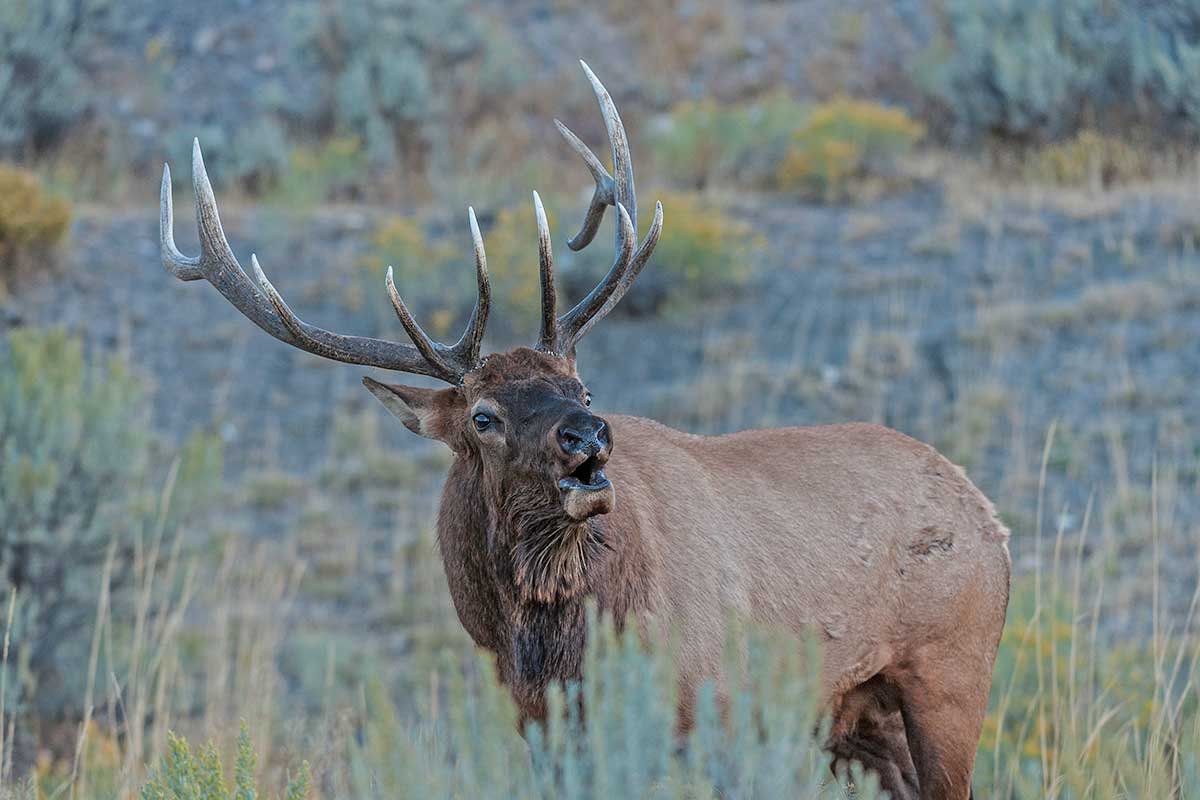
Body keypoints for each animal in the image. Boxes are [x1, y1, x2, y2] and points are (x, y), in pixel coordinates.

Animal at [158, 62, 1010, 800]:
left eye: (583, 385)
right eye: (483, 416)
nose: (588, 438)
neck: (554, 651)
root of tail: (989, 516)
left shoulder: (714, 710)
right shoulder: (543, 731)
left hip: (951, 671)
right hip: (858, 716)